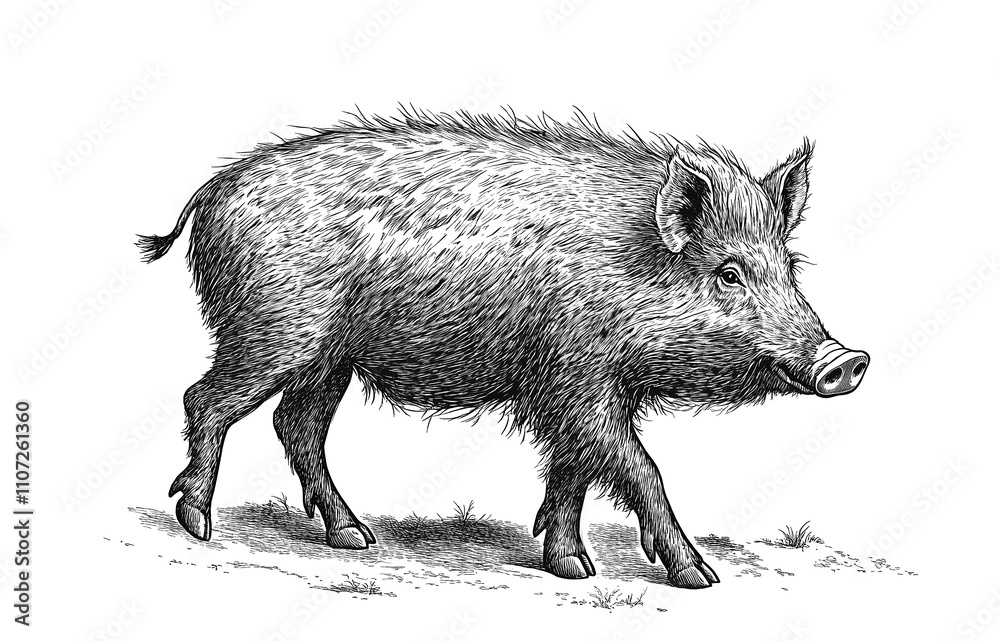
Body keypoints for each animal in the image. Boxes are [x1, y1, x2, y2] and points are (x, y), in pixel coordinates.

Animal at [138, 109, 869, 589]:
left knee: (296, 424)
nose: (847, 361)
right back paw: (198, 523)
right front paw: (701, 577)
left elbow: (573, 472)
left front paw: (572, 567)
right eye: (729, 272)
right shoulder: (579, 377)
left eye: (788, 267)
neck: (630, 270)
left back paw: (354, 537)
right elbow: (639, 467)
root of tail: (214, 188)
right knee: (205, 399)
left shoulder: (584, 391)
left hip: (328, 358)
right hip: (275, 333)